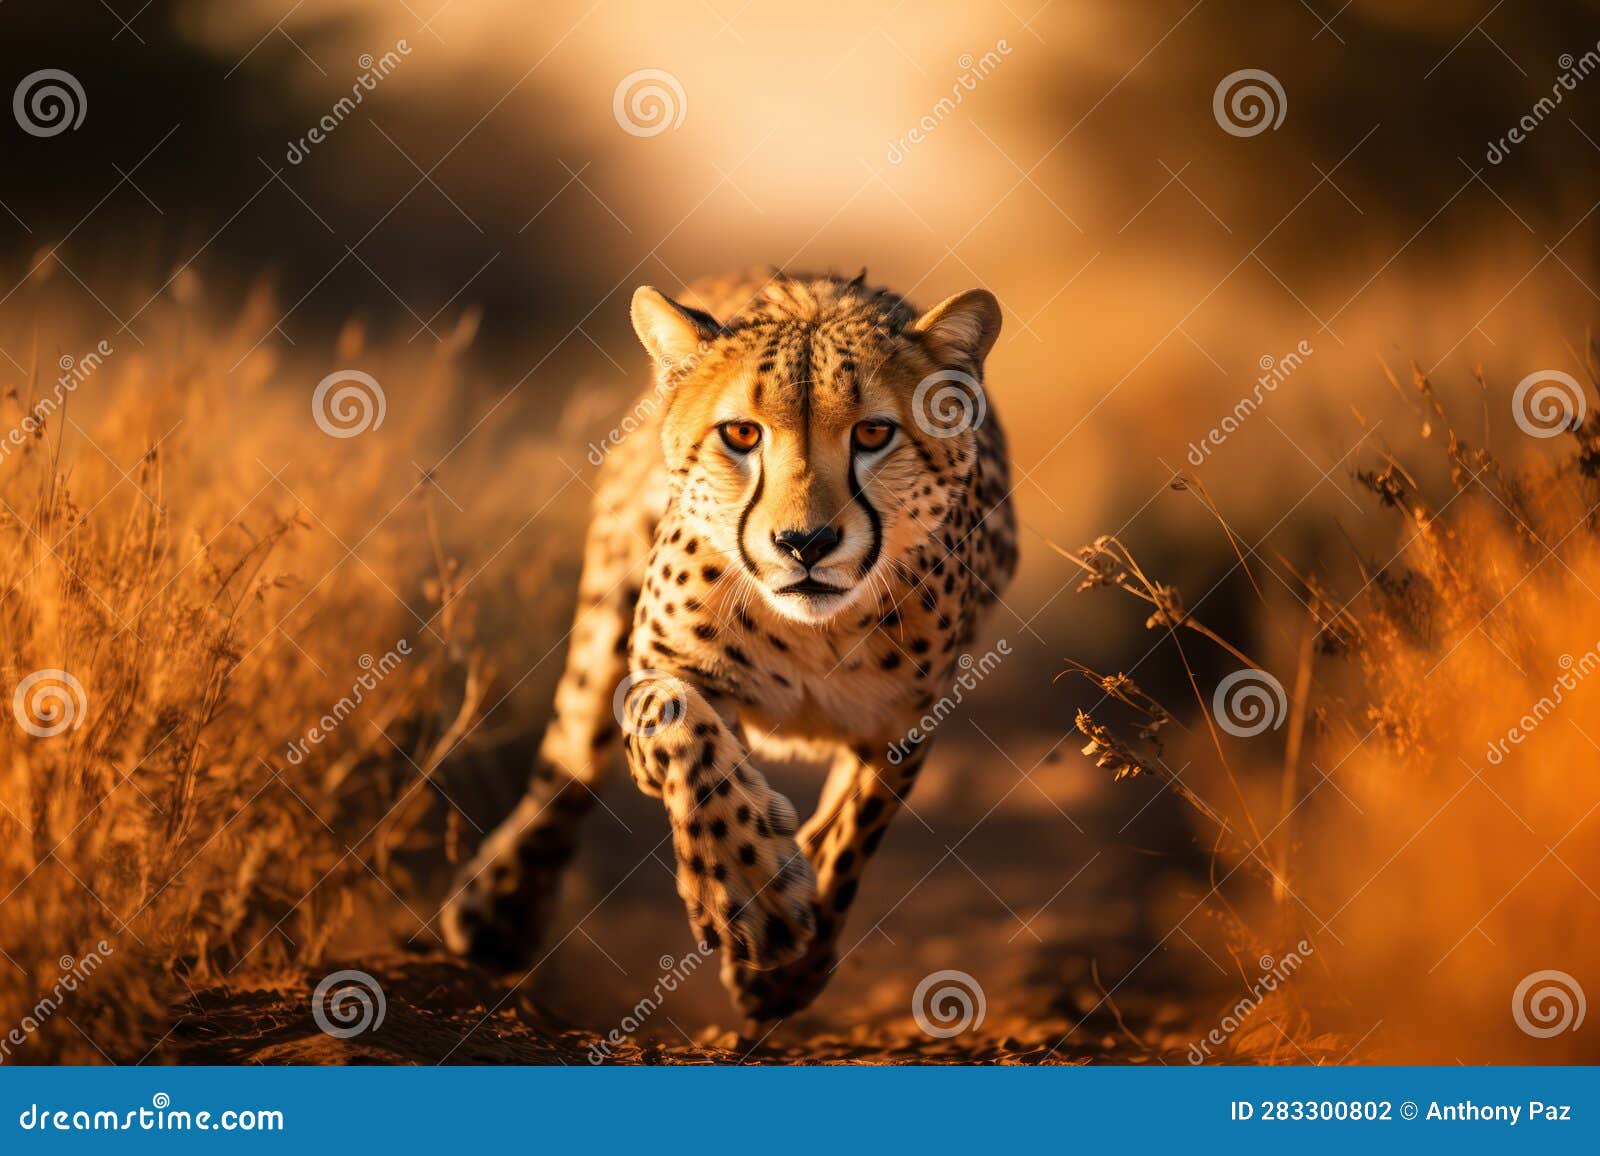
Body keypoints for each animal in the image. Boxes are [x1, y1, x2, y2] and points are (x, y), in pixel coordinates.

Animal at [440, 268, 1018, 1032]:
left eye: (873, 432)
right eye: (742, 433)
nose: (805, 543)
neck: (816, 631)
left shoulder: (902, 723)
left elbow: (849, 830)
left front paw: (788, 967)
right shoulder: (661, 669)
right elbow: (688, 737)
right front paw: (754, 895)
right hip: (603, 628)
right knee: (569, 761)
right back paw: (497, 912)